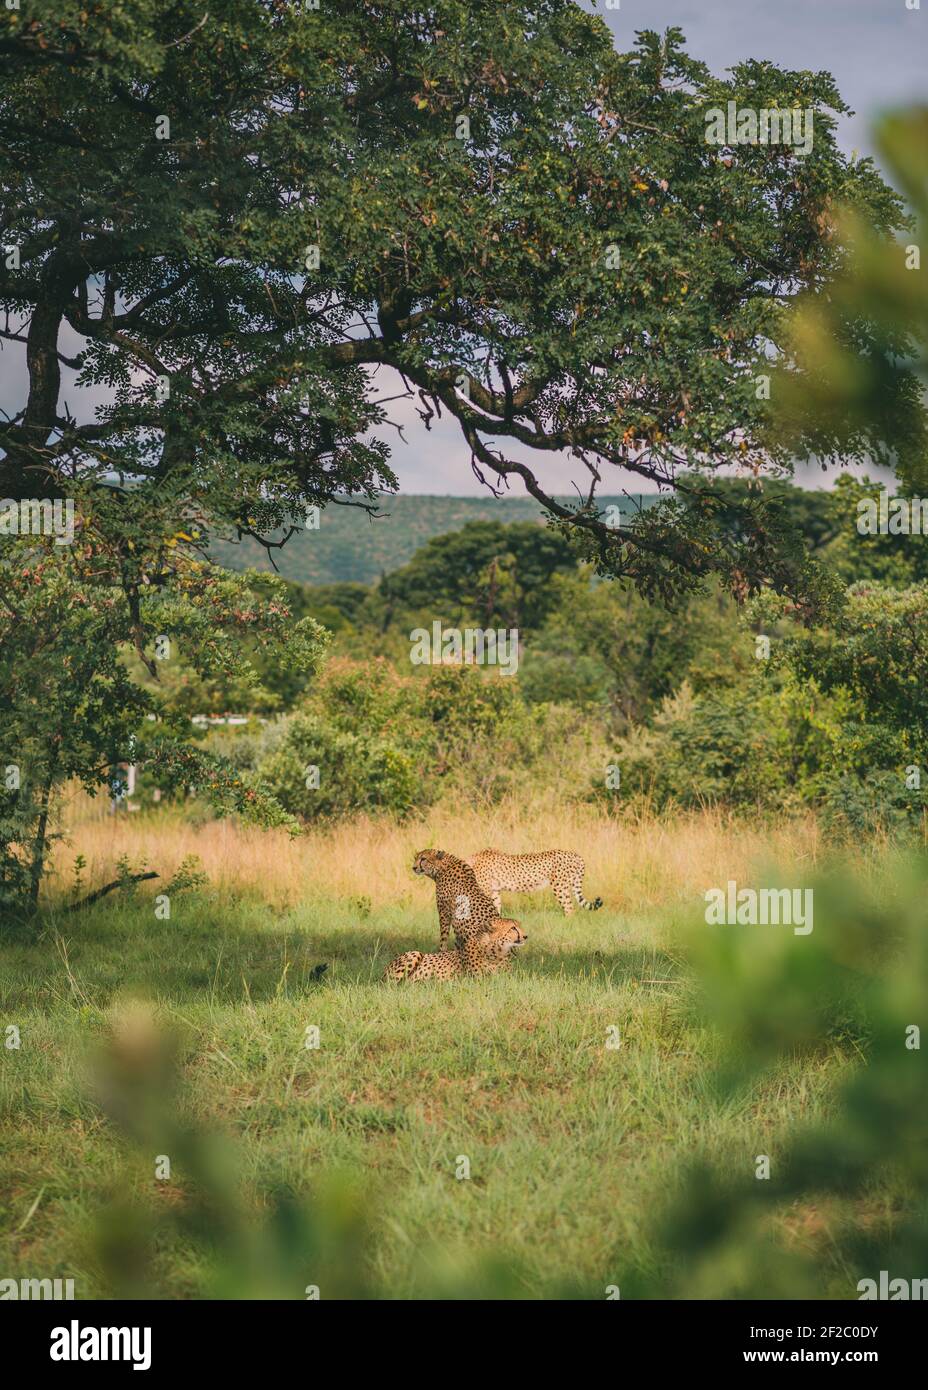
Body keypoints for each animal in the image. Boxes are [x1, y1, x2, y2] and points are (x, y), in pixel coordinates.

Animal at [469, 848, 603, 916]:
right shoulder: (495, 891)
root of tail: (576, 855)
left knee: (569, 908)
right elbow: (496, 908)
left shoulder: (486, 891)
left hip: (559, 886)